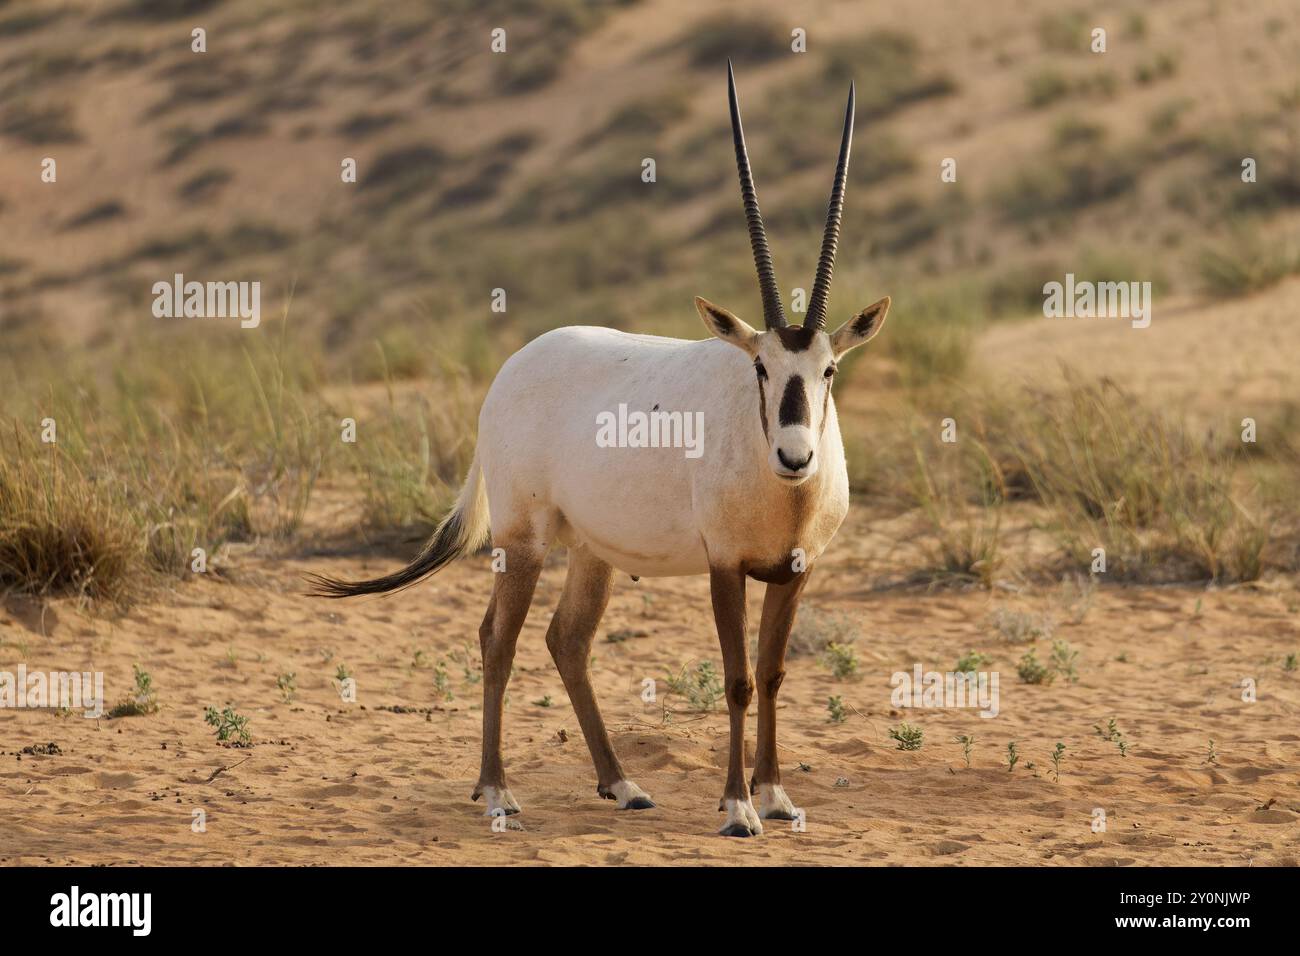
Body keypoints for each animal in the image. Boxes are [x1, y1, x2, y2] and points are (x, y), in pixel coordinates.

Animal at [310, 63, 890, 837]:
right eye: (762, 368)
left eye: (828, 370)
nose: (795, 458)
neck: (783, 490)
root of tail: (510, 370)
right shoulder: (725, 566)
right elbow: (737, 679)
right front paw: (738, 808)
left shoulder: (794, 570)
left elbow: (771, 674)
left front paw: (775, 795)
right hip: (521, 539)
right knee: (498, 639)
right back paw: (498, 792)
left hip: (591, 551)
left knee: (567, 640)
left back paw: (623, 784)